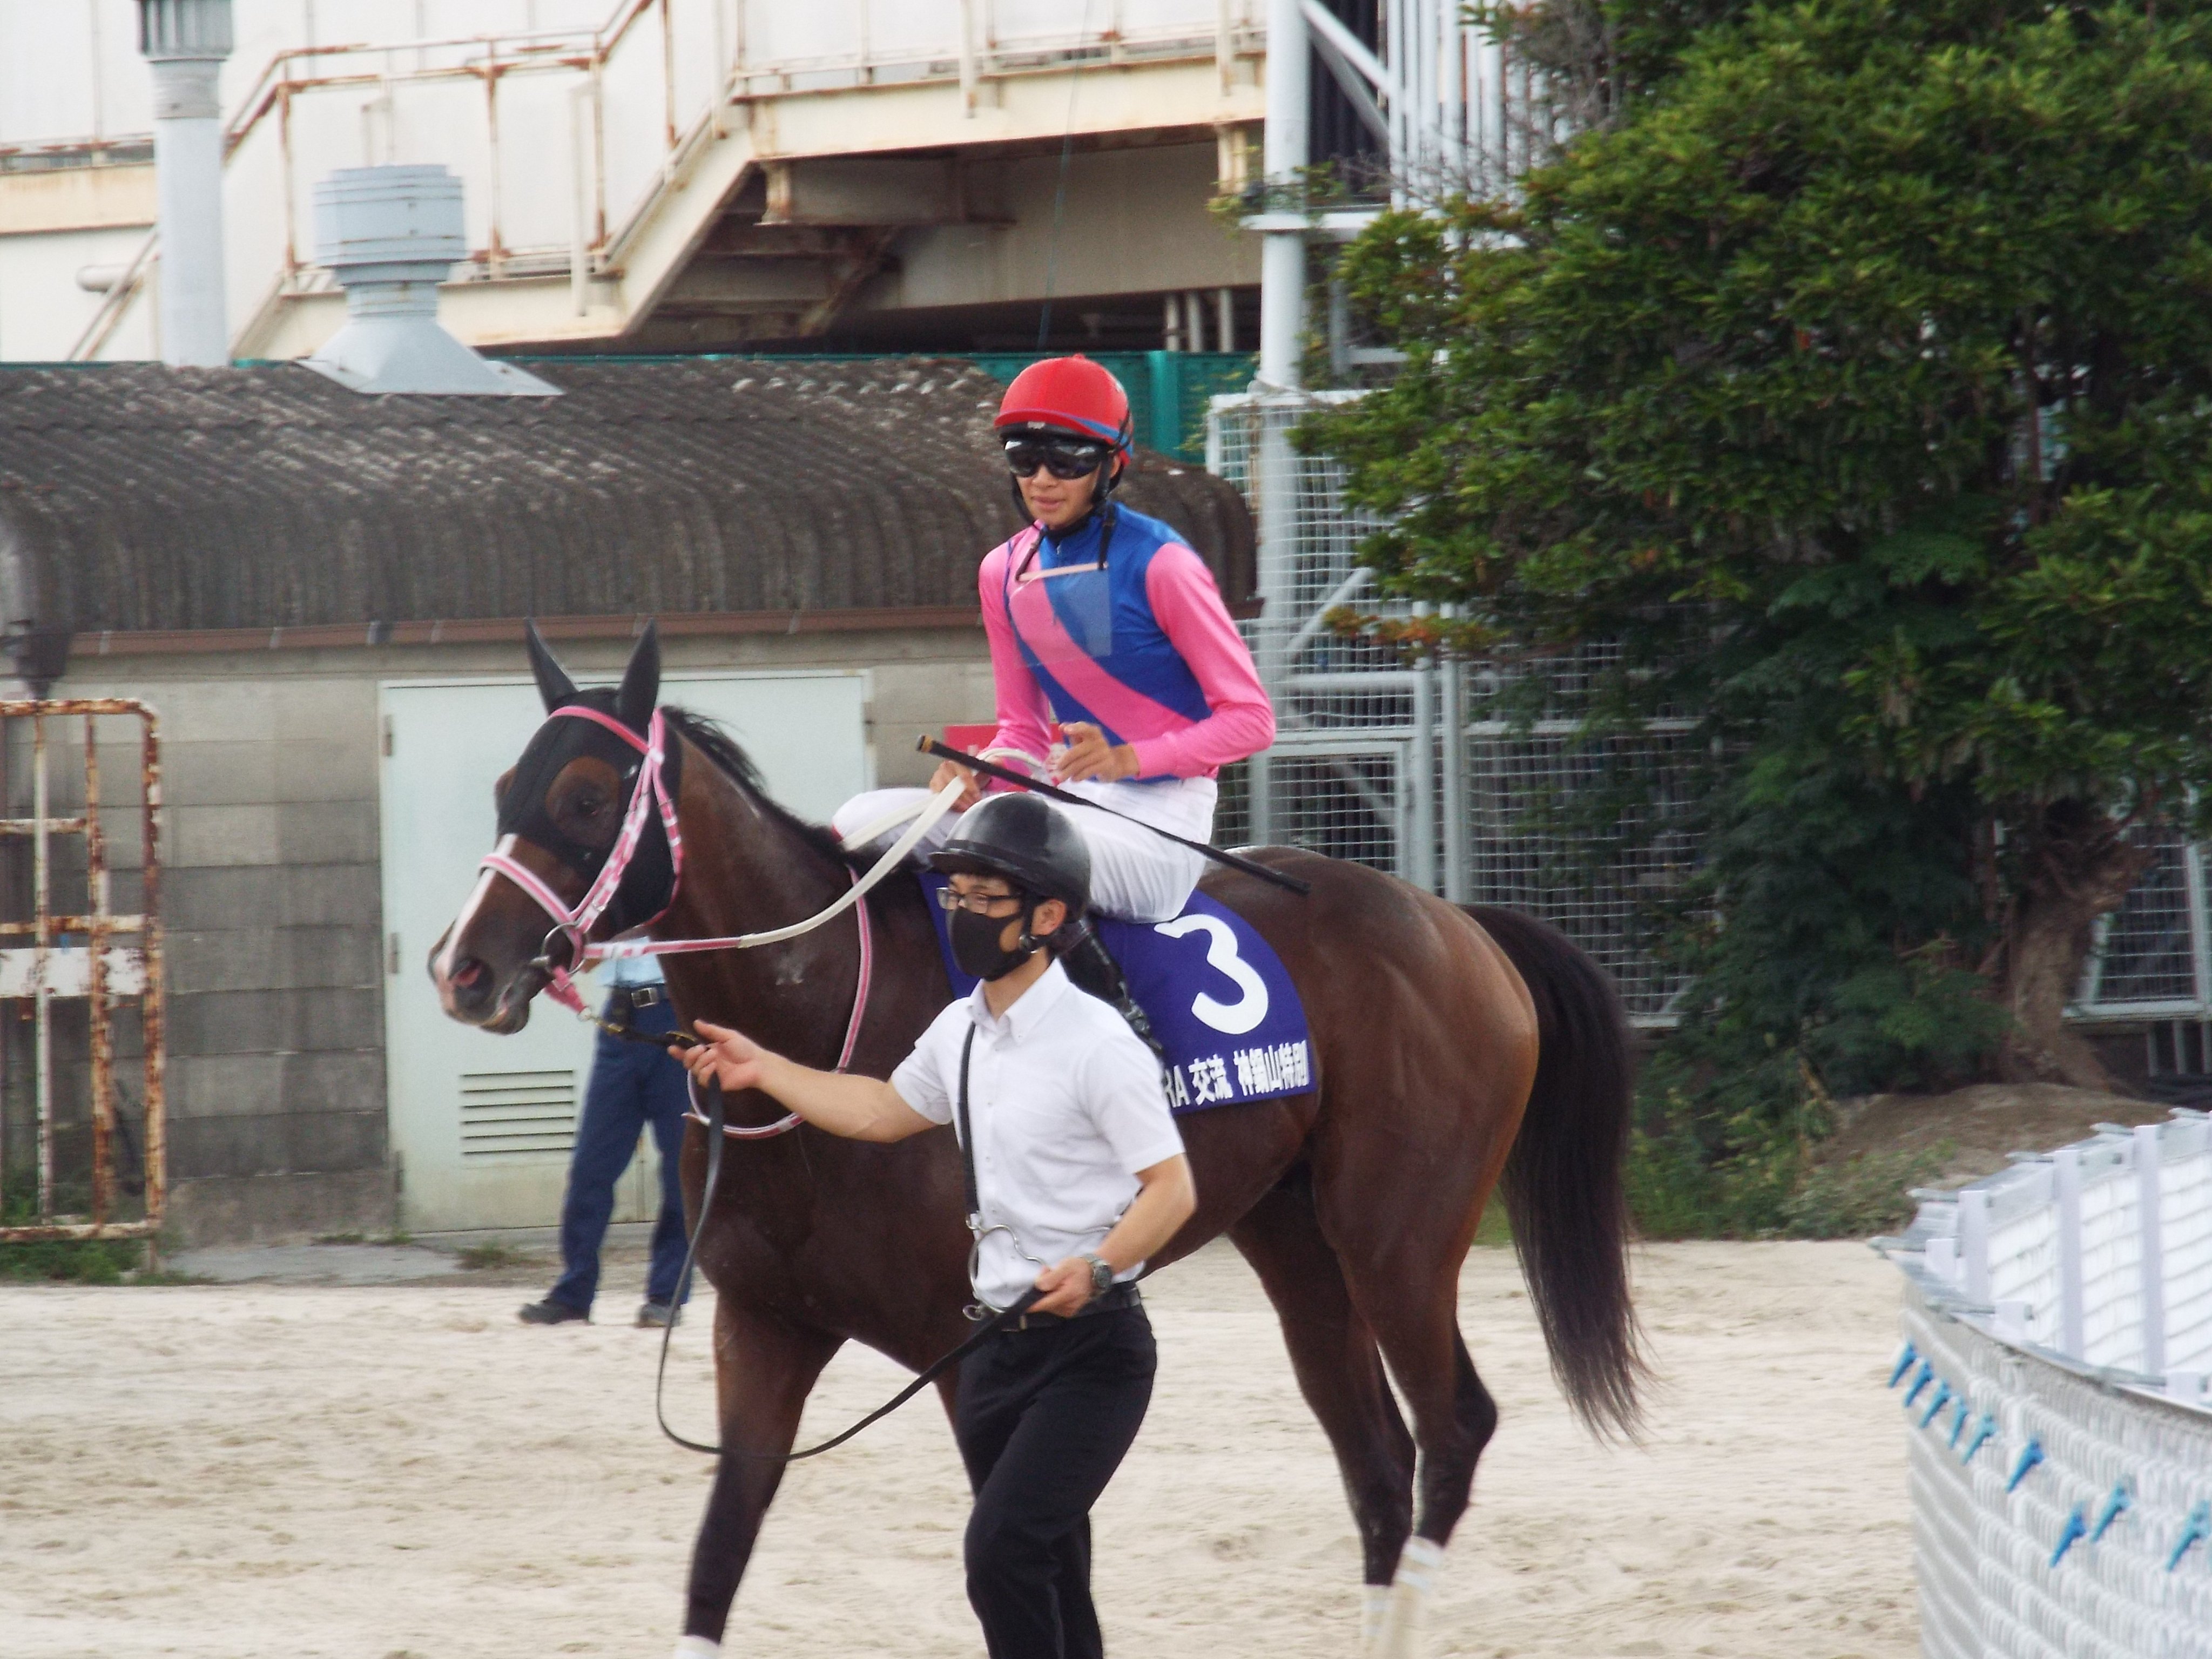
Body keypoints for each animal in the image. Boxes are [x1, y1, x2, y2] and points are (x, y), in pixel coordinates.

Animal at [430, 624, 1643, 1658]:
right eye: (503, 789)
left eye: (587, 796)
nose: (463, 968)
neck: (824, 1022)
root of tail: (1453, 922)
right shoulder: (764, 1329)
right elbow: (719, 1556)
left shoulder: (973, 1358)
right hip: (1296, 1246)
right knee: (1379, 1467)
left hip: (1397, 1240)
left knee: (1452, 1432)